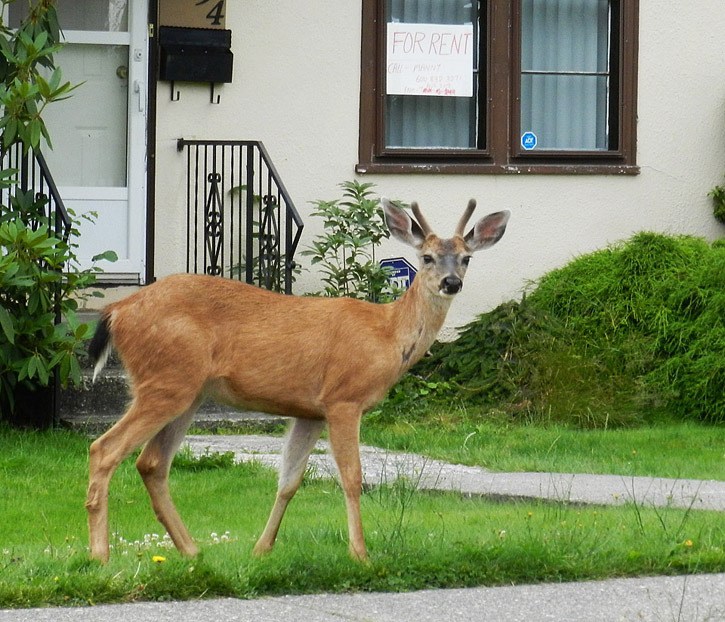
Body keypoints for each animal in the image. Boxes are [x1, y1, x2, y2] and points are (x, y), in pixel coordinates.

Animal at [85, 198, 510, 563]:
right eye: (427, 257)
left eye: (467, 258)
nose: (451, 282)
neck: (386, 335)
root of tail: (117, 310)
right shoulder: (343, 398)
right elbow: (352, 477)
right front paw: (360, 554)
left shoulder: (309, 411)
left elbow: (289, 480)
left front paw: (262, 549)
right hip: (165, 380)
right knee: (104, 449)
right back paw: (101, 555)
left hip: (187, 391)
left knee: (151, 463)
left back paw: (191, 550)